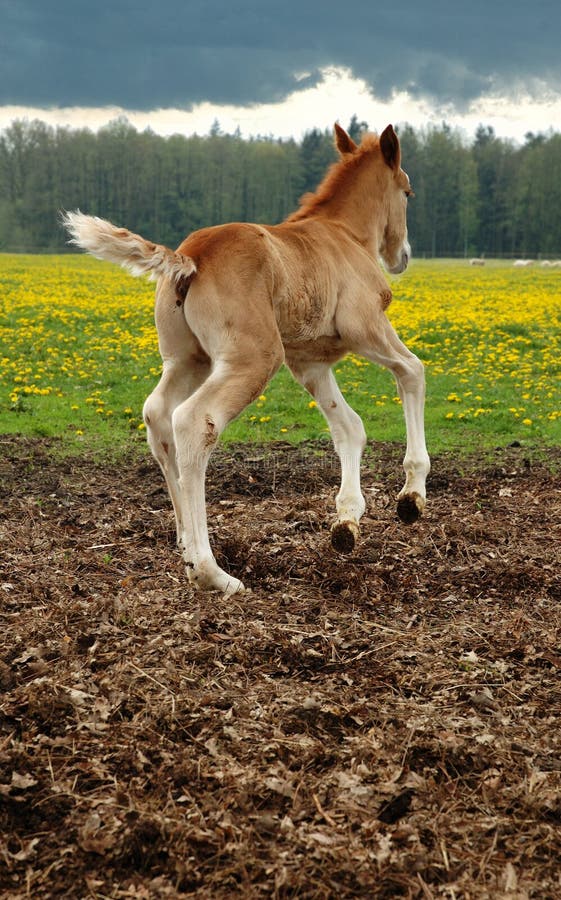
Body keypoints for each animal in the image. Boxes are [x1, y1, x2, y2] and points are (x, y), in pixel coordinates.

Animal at [63, 123, 430, 596]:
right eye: (408, 191)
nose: (403, 256)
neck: (345, 234)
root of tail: (190, 257)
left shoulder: (309, 362)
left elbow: (349, 427)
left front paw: (347, 520)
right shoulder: (365, 326)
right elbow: (412, 371)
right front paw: (412, 496)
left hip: (188, 360)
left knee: (157, 414)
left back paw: (185, 544)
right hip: (255, 358)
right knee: (193, 421)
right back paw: (211, 572)